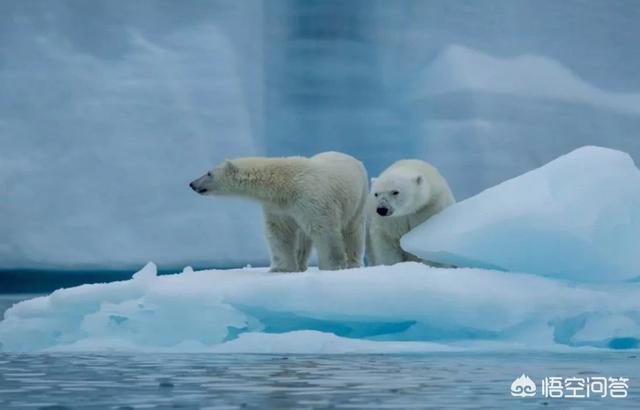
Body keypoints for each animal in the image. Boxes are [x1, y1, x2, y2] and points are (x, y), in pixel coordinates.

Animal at [190, 152, 368, 270]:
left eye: (209, 173)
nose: (192, 184)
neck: (285, 184)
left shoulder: (311, 198)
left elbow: (324, 231)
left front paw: (332, 267)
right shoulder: (279, 207)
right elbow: (280, 233)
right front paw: (281, 268)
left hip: (358, 197)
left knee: (353, 231)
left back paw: (353, 263)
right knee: (303, 237)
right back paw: (300, 264)